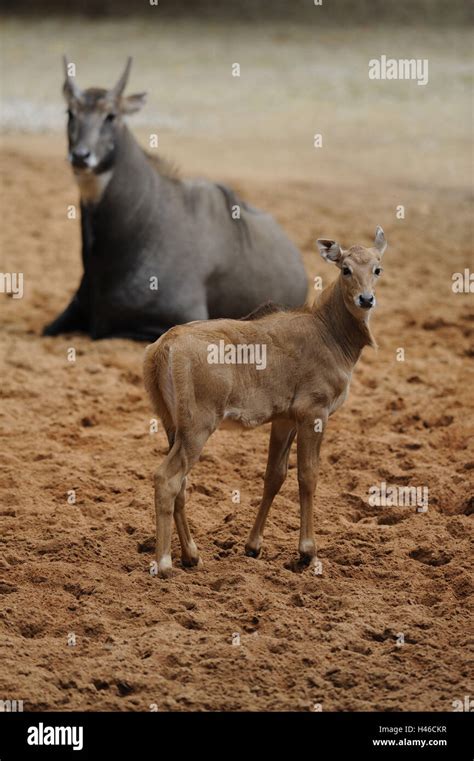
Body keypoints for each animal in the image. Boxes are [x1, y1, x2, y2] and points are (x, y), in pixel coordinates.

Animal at [143, 227, 387, 577]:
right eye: (345, 269)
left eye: (377, 269)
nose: (365, 299)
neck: (329, 333)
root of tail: (163, 348)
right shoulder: (314, 412)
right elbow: (308, 476)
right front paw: (307, 552)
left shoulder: (284, 418)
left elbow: (275, 476)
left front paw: (253, 546)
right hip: (197, 425)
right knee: (168, 479)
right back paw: (164, 563)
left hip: (171, 424)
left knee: (182, 483)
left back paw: (192, 554)